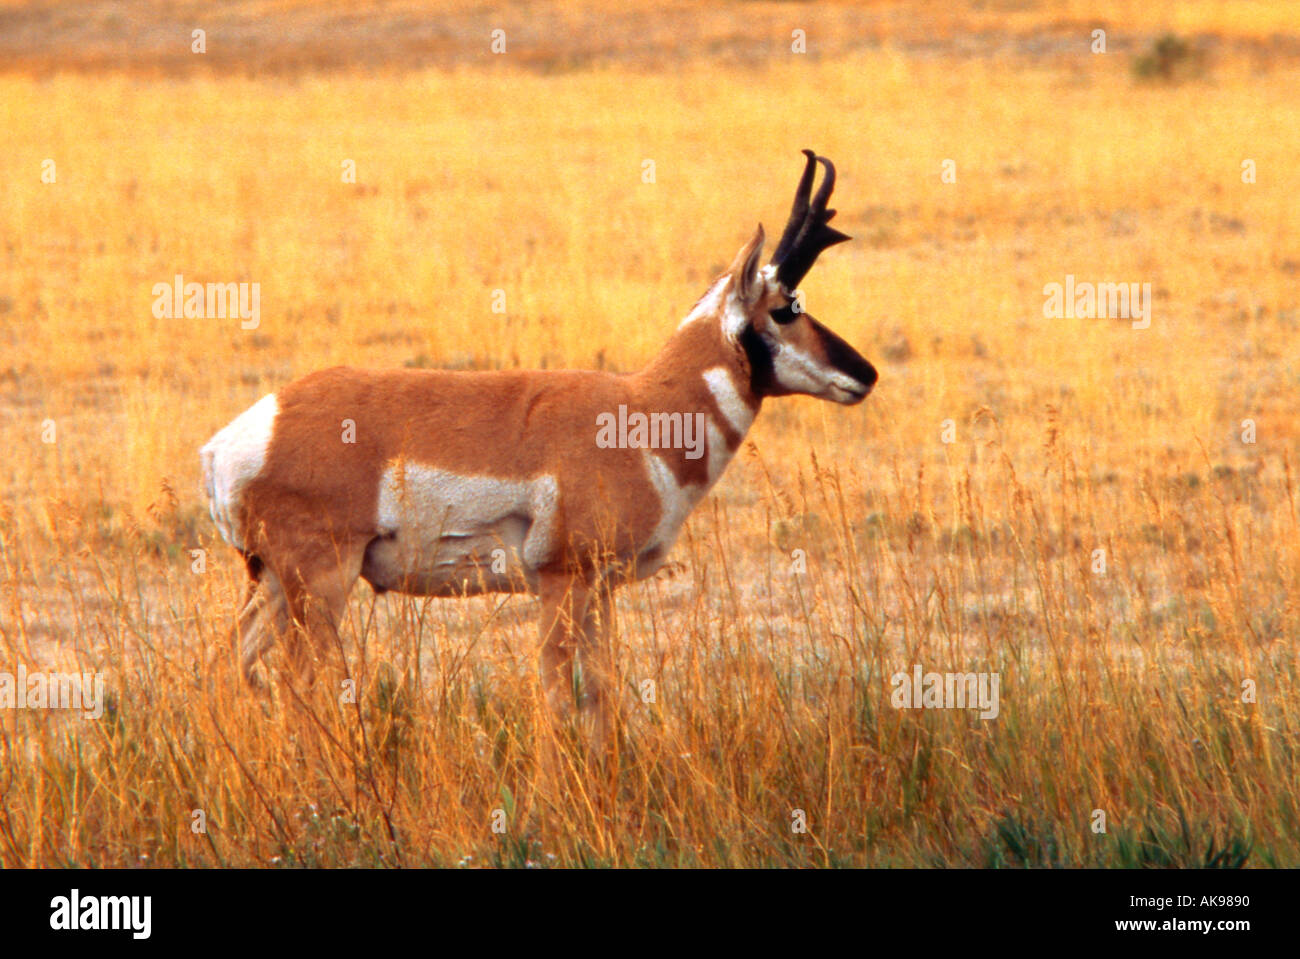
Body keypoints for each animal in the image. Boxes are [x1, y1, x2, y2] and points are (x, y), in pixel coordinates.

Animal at [200, 150, 877, 742]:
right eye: (786, 308)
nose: (865, 374)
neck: (642, 410)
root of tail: (240, 435)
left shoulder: (602, 590)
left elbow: (601, 695)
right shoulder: (561, 584)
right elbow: (556, 697)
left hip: (273, 582)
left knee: (231, 666)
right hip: (322, 581)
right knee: (297, 685)